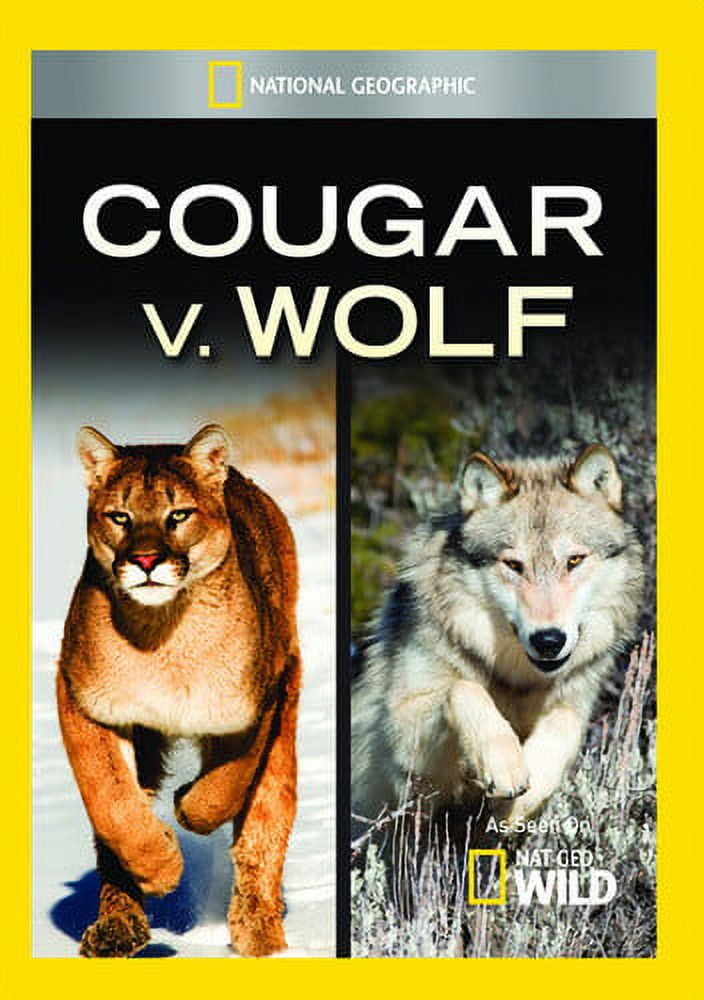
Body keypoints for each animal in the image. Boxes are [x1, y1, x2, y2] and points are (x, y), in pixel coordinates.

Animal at [352, 444, 643, 834]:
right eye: (514, 565)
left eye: (574, 560)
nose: (548, 640)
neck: (517, 681)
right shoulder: (404, 752)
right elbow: (462, 688)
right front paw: (504, 763)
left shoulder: (576, 704)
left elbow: (565, 721)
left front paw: (516, 806)